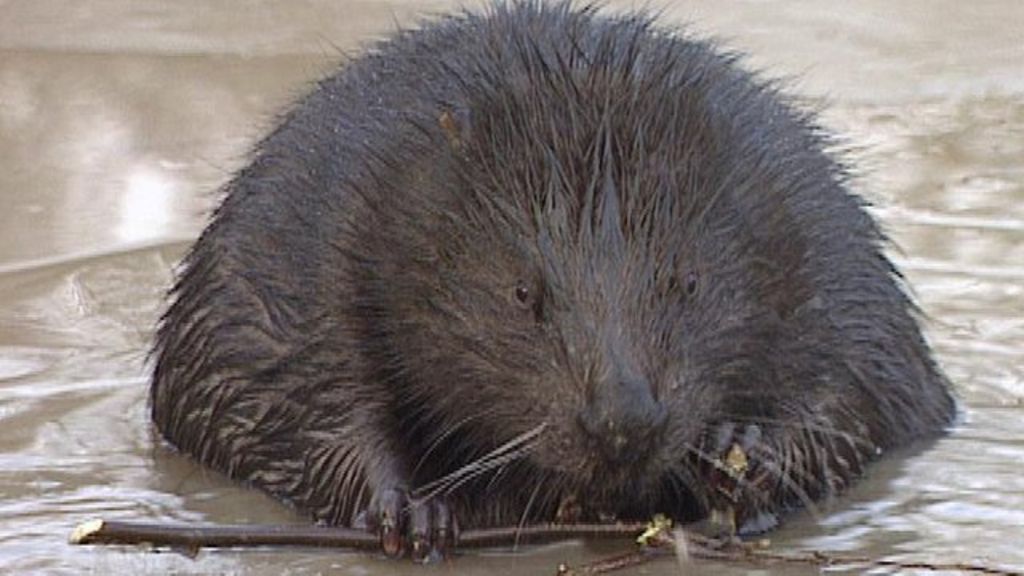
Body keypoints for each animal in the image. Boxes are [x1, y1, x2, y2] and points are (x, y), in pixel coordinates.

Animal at [151, 0, 955, 559]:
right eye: (521, 292)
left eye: (688, 282)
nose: (624, 421)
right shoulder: (310, 241)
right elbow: (296, 389)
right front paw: (411, 512)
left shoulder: (817, 231)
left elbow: (861, 386)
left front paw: (746, 454)